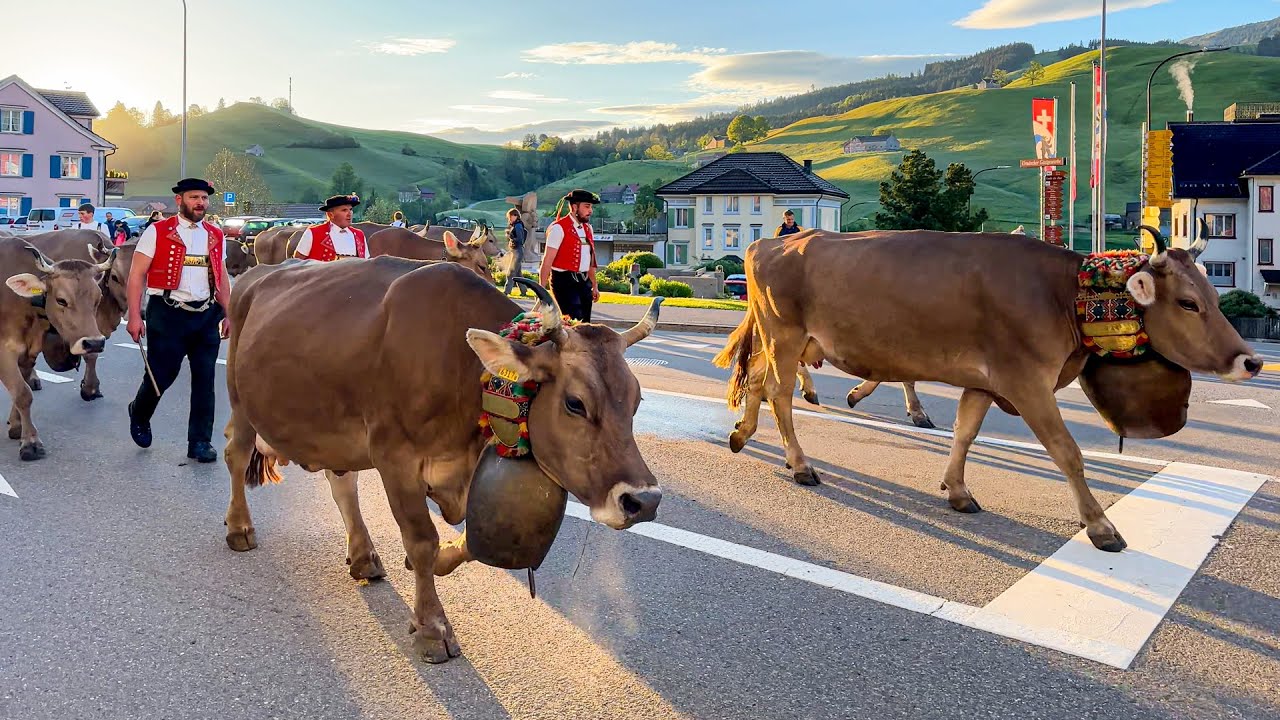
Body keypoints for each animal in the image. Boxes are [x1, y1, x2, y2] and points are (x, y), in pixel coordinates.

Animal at [1, 237, 113, 460]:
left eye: (97, 300)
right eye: (62, 300)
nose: (95, 343)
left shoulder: (28, 354)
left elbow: (21, 391)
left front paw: (17, 426)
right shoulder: (3, 352)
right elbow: (23, 393)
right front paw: (31, 443)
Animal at [222, 259, 664, 662]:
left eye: (637, 400)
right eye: (575, 403)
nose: (644, 501)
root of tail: (256, 273)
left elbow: (467, 542)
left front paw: (438, 565)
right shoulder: (394, 457)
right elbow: (421, 540)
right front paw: (432, 628)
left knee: (341, 481)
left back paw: (363, 556)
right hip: (240, 399)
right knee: (236, 455)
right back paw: (240, 528)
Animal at [714, 226, 1262, 553]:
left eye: (1214, 295)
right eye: (1189, 302)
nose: (1252, 361)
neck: (1063, 293)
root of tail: (774, 242)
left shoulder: (984, 381)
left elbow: (965, 432)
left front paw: (958, 491)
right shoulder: (1027, 381)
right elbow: (1067, 452)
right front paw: (1101, 526)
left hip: (783, 339)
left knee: (758, 380)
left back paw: (742, 434)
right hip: (785, 334)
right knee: (779, 391)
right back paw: (800, 464)